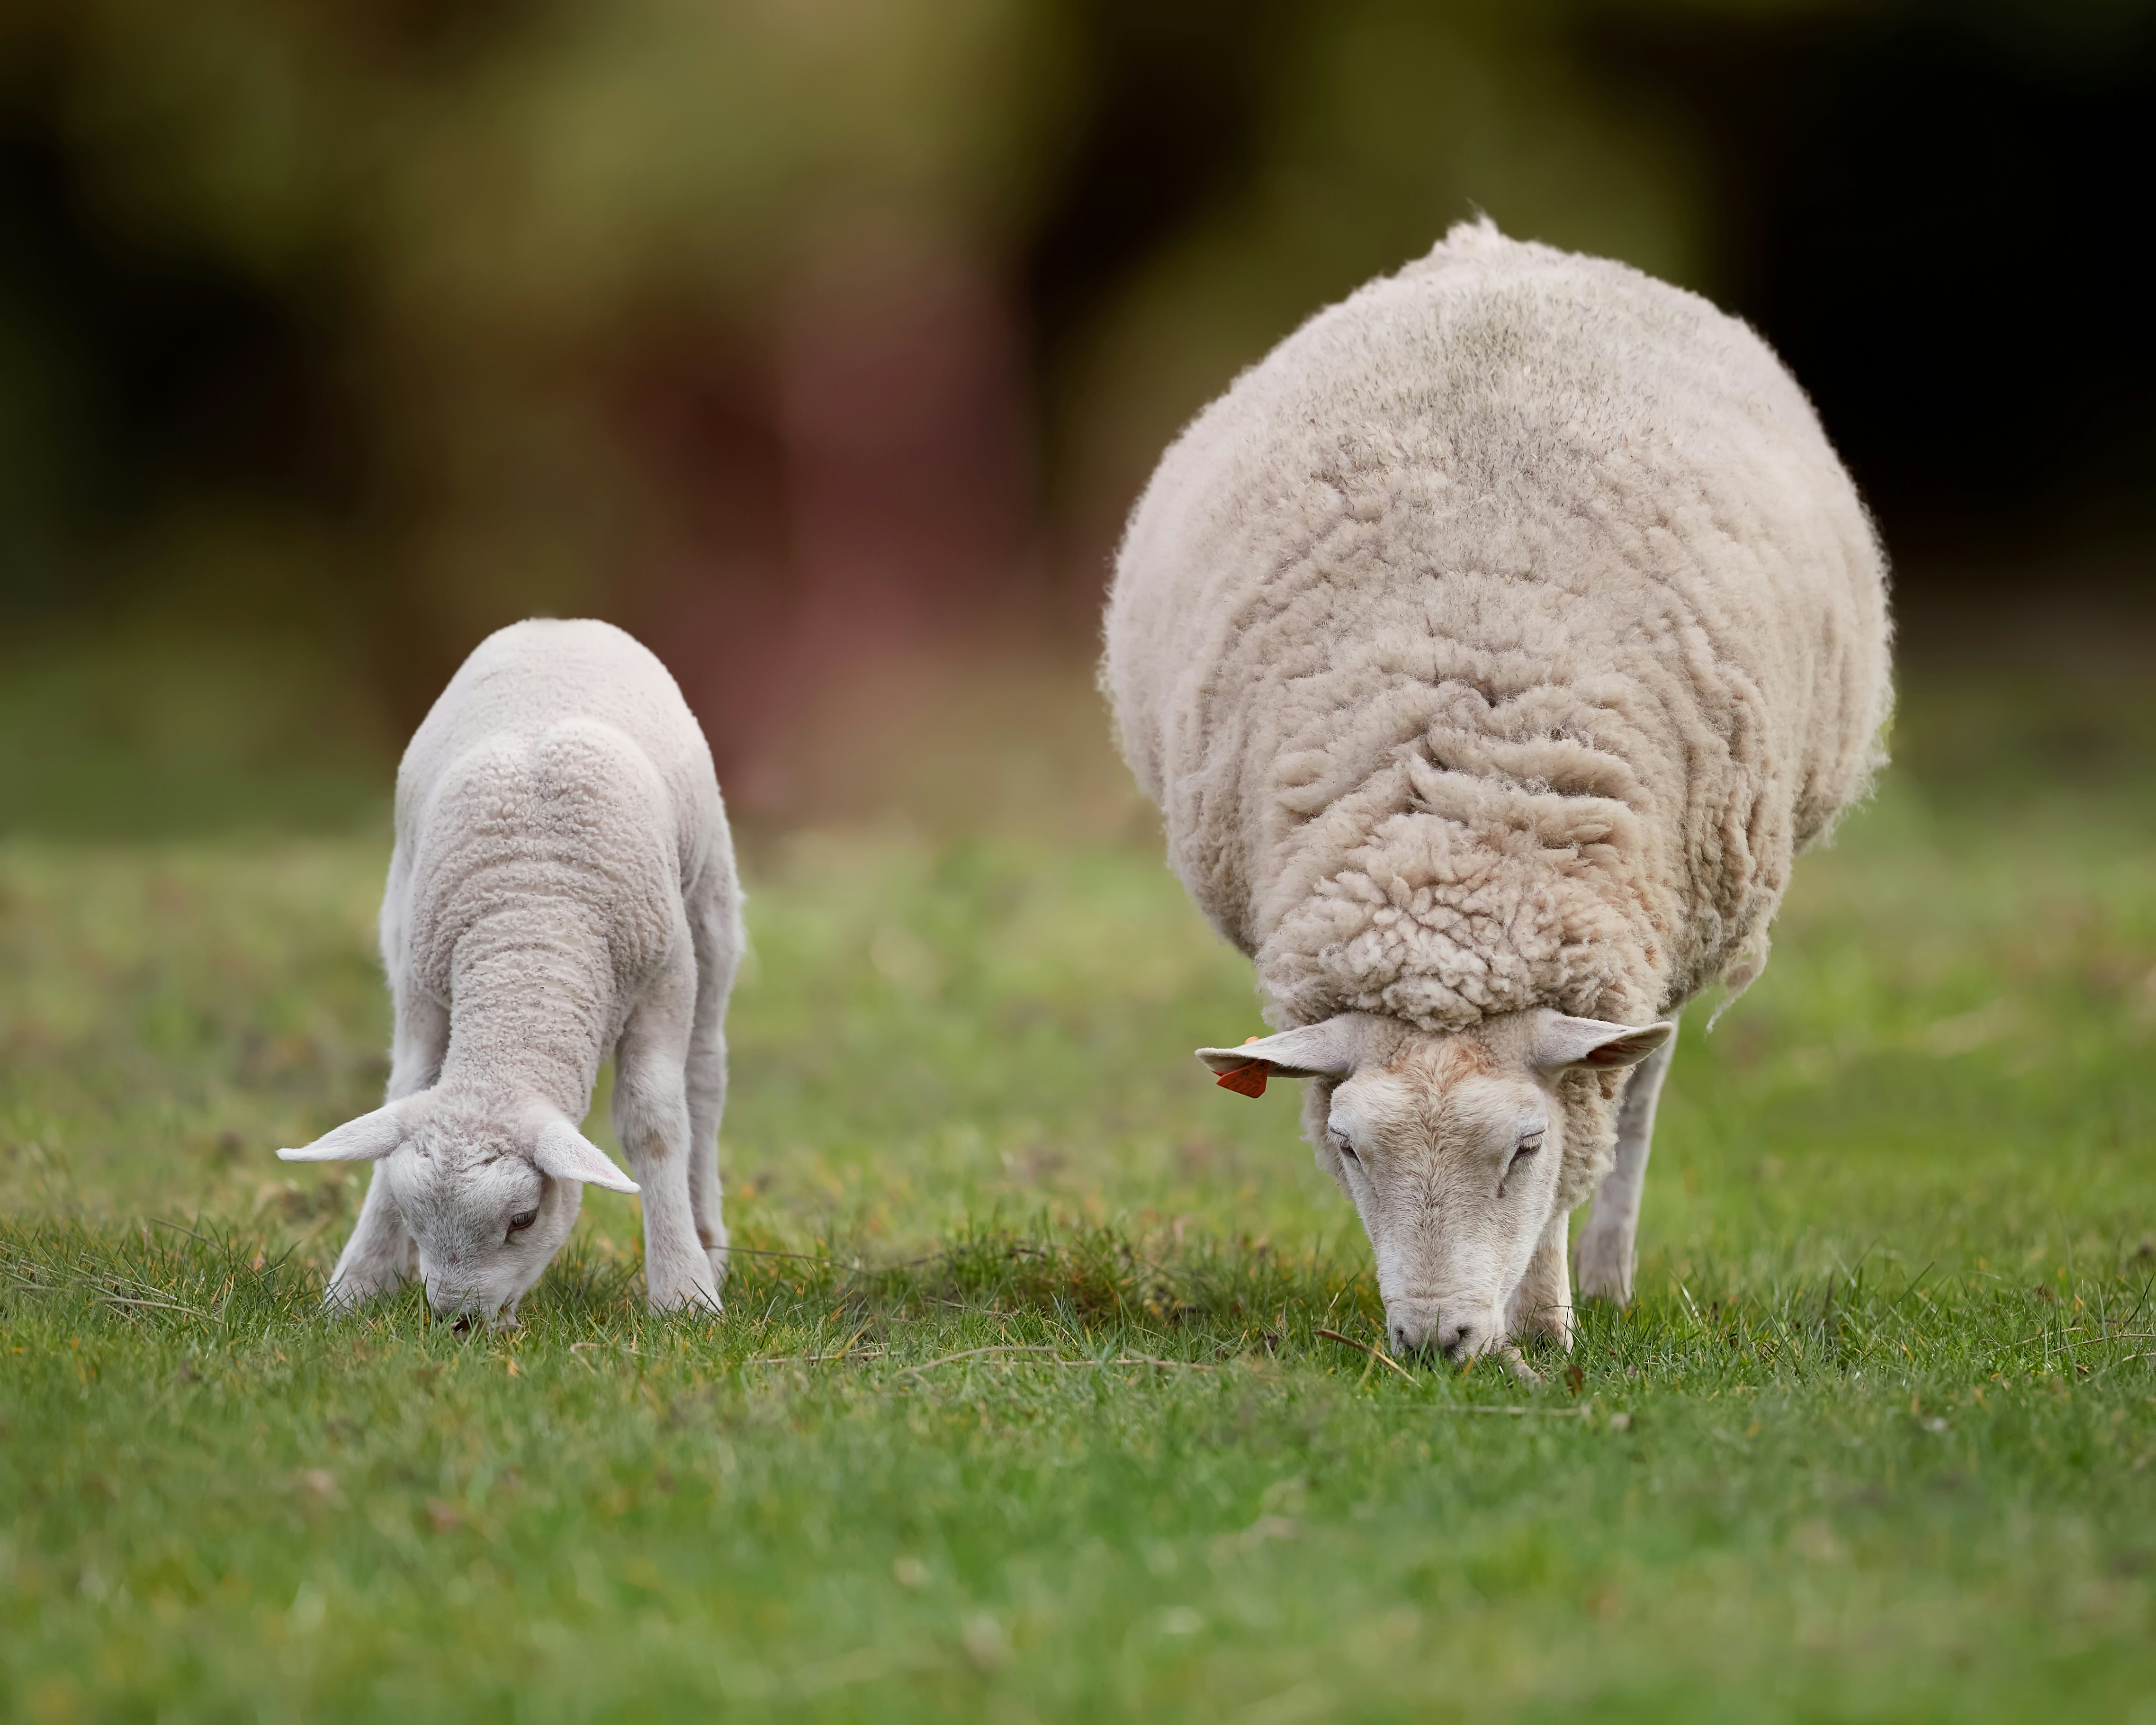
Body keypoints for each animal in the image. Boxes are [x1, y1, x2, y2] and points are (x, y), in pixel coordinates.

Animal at [280, 618, 742, 1325]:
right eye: (414, 1217)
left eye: (523, 1219)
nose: (457, 1321)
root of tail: (557, 623)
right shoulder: (421, 984)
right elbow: (406, 1089)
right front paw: (359, 1283)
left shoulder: (665, 976)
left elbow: (655, 1122)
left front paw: (684, 1293)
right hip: (397, 911)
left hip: (710, 910)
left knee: (706, 1080)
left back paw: (707, 1240)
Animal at [1103, 219, 1891, 1364]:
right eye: (1349, 1147)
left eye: (1520, 1146)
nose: (1435, 1345)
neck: (1457, 848)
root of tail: (1492, 244)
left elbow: (1578, 1158)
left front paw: (1547, 1323)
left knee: (1639, 1095)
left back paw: (1604, 1281)